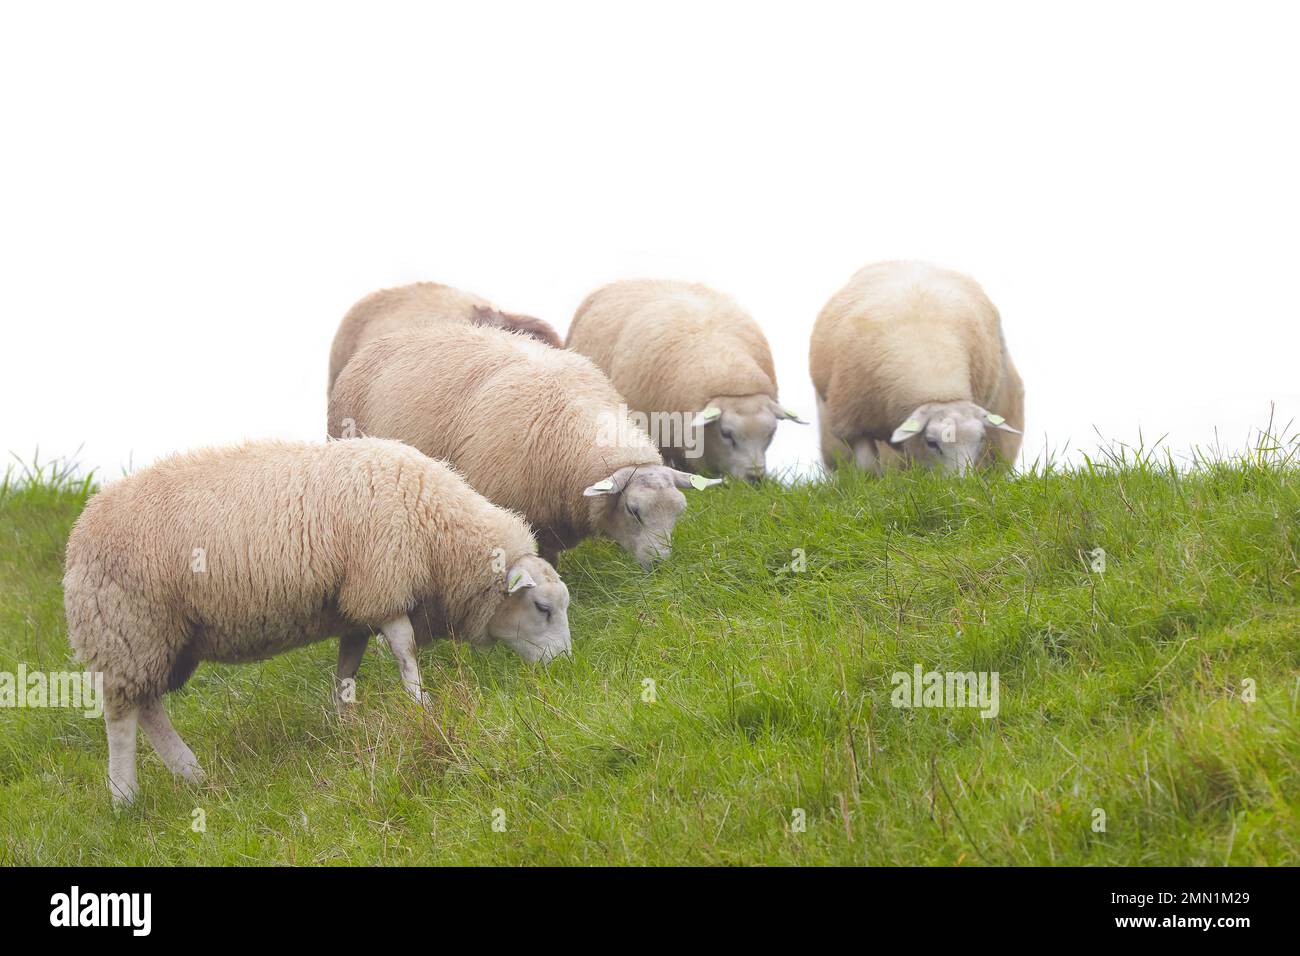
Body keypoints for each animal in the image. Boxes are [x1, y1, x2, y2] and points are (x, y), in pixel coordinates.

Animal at [62, 437, 571, 805]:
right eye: (542, 608)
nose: (566, 665)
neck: (437, 528)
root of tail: (79, 535)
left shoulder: (354, 605)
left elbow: (349, 664)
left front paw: (343, 721)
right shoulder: (383, 581)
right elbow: (404, 648)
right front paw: (420, 703)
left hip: (156, 639)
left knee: (148, 707)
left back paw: (192, 774)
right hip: (127, 626)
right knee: (122, 716)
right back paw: (125, 796)